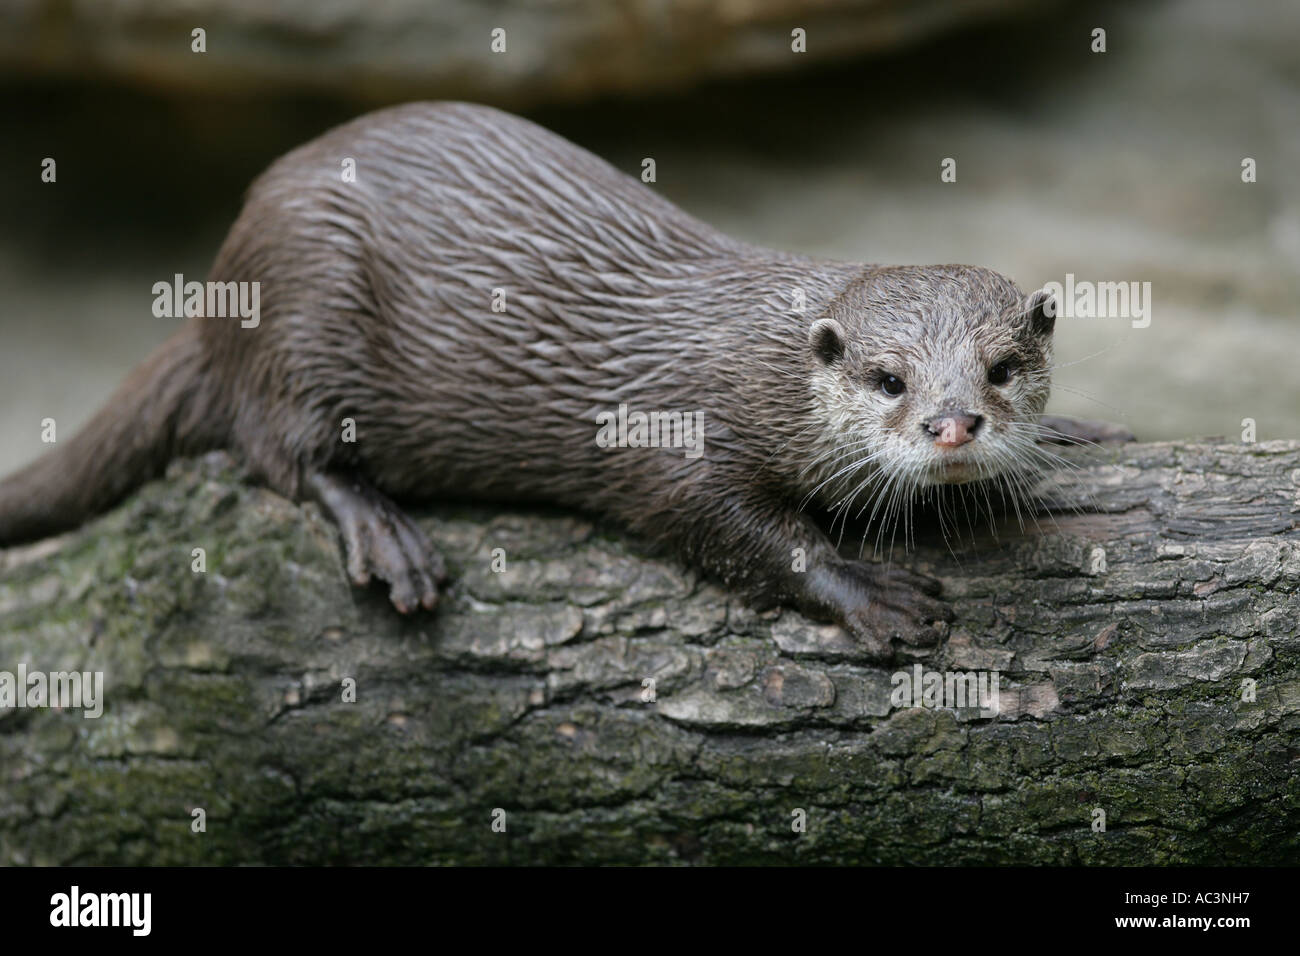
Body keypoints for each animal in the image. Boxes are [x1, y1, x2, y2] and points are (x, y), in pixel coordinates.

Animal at [0, 102, 1121, 658]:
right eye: (888, 379)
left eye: (1003, 367)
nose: (953, 425)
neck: (758, 364)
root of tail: (222, 283)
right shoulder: (682, 439)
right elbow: (732, 529)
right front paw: (869, 589)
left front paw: (1071, 433)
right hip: (304, 306)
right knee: (281, 448)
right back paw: (385, 534)